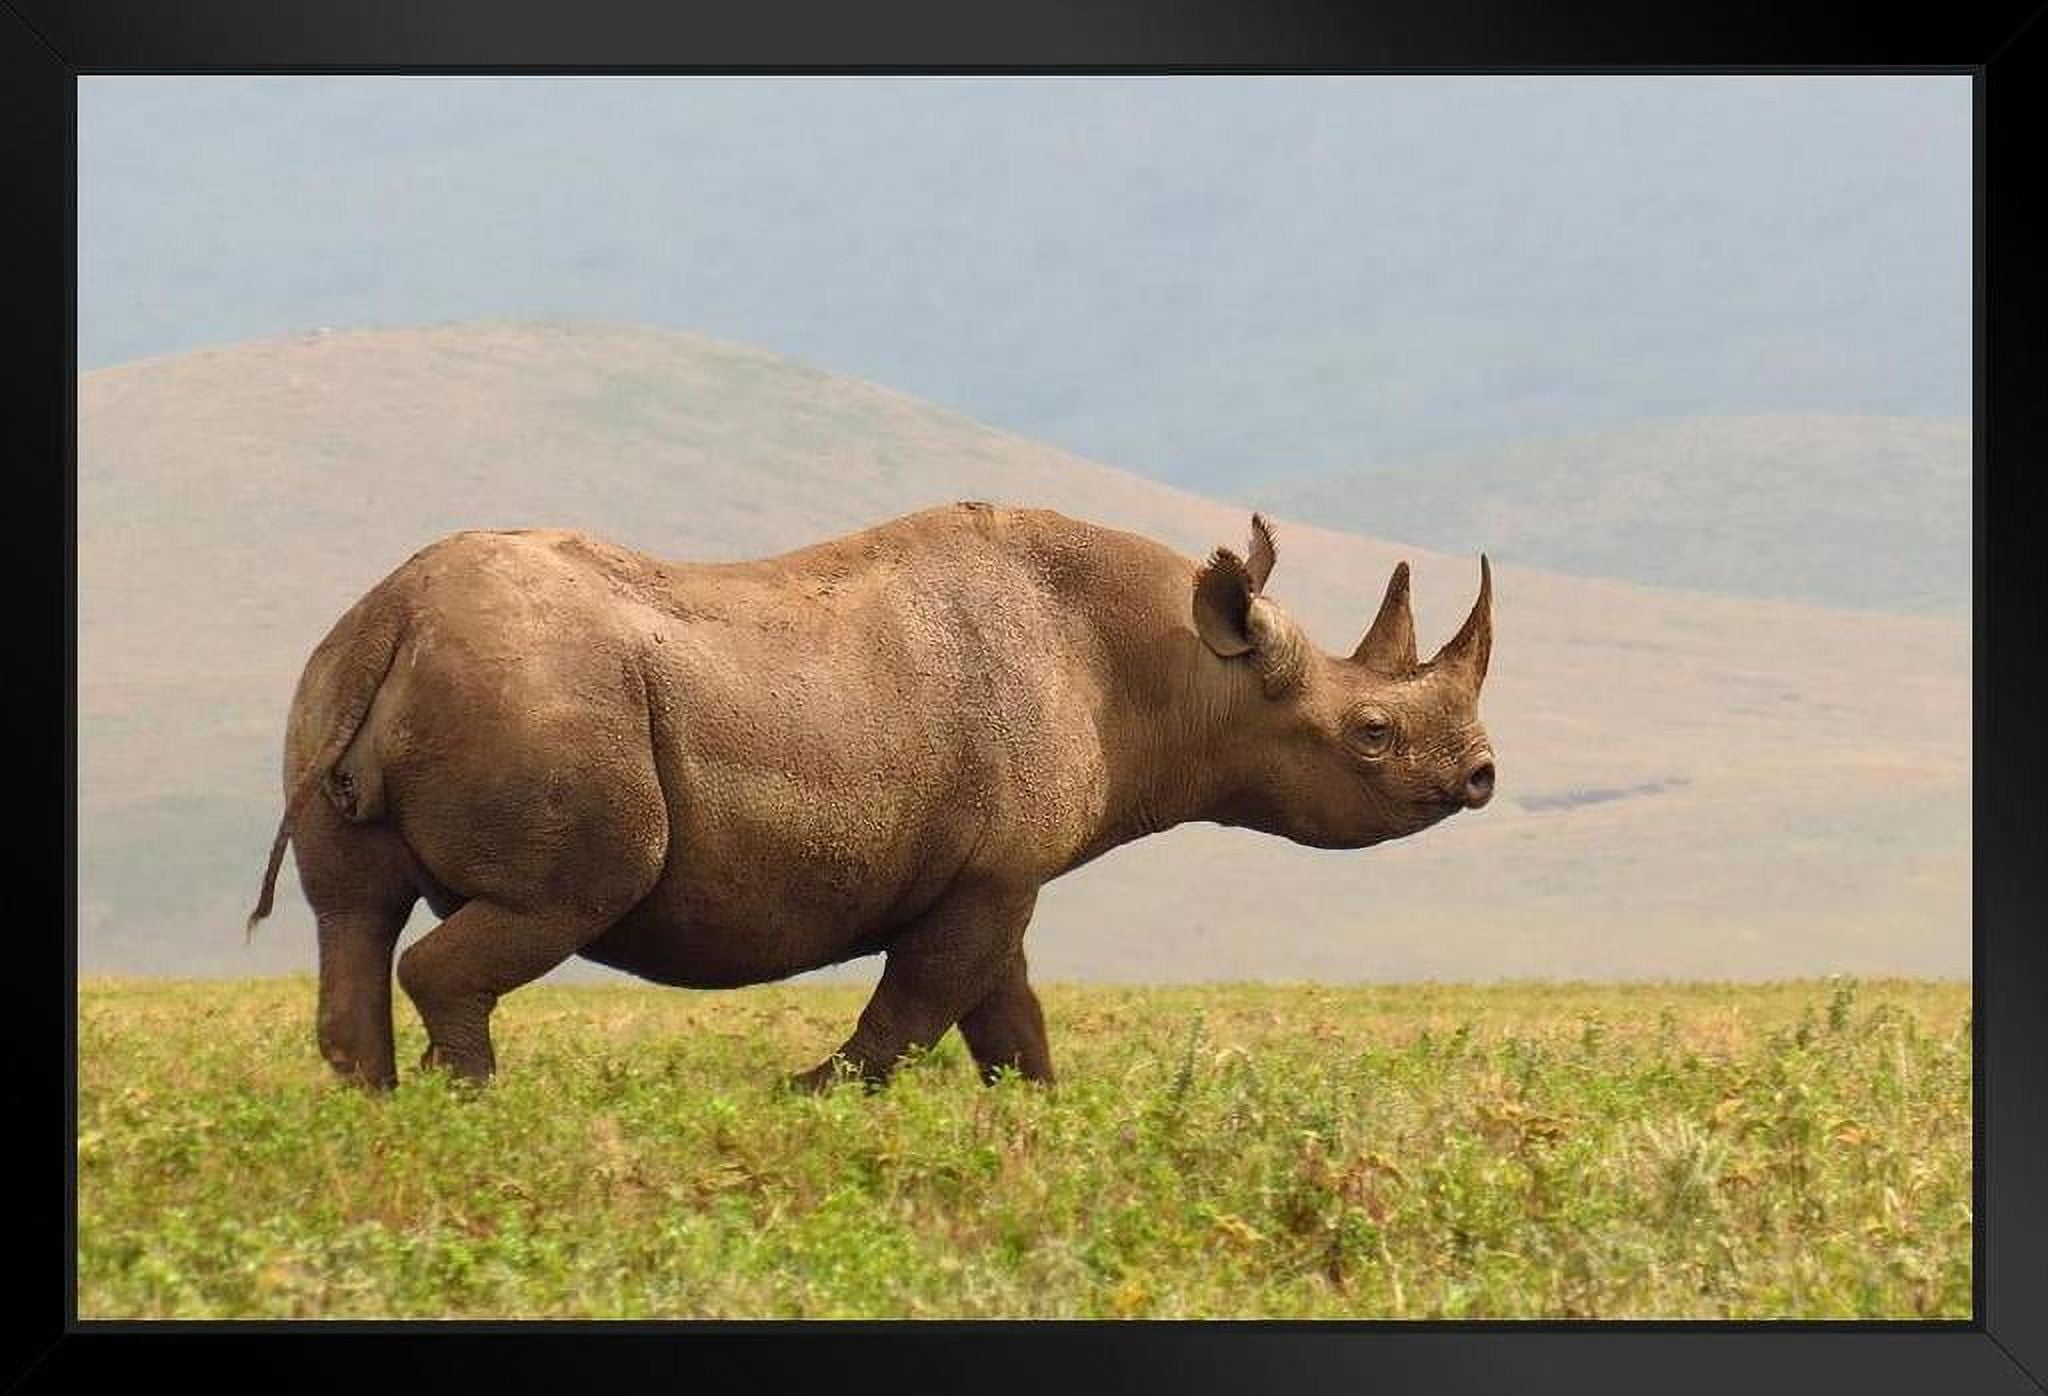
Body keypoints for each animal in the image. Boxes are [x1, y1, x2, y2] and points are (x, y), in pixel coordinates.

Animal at [247, 503, 1495, 1091]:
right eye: (1370, 734)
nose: (1479, 776)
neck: (1186, 669)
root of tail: (395, 618)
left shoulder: (995, 872)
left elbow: (1004, 1016)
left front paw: (1041, 1127)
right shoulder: (990, 871)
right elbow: (919, 1006)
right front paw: (797, 1097)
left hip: (336, 672)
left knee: (351, 915)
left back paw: (383, 1116)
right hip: (544, 697)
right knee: (561, 898)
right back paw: (478, 1109)